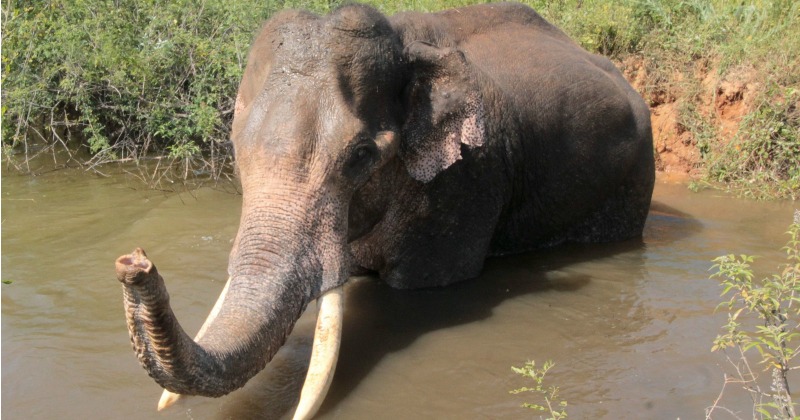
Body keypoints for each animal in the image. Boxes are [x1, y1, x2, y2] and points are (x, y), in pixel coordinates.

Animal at [115, 3, 654, 418]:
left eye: (360, 157)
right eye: (234, 147)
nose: (134, 263)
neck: (408, 47)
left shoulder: (467, 185)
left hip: (632, 183)